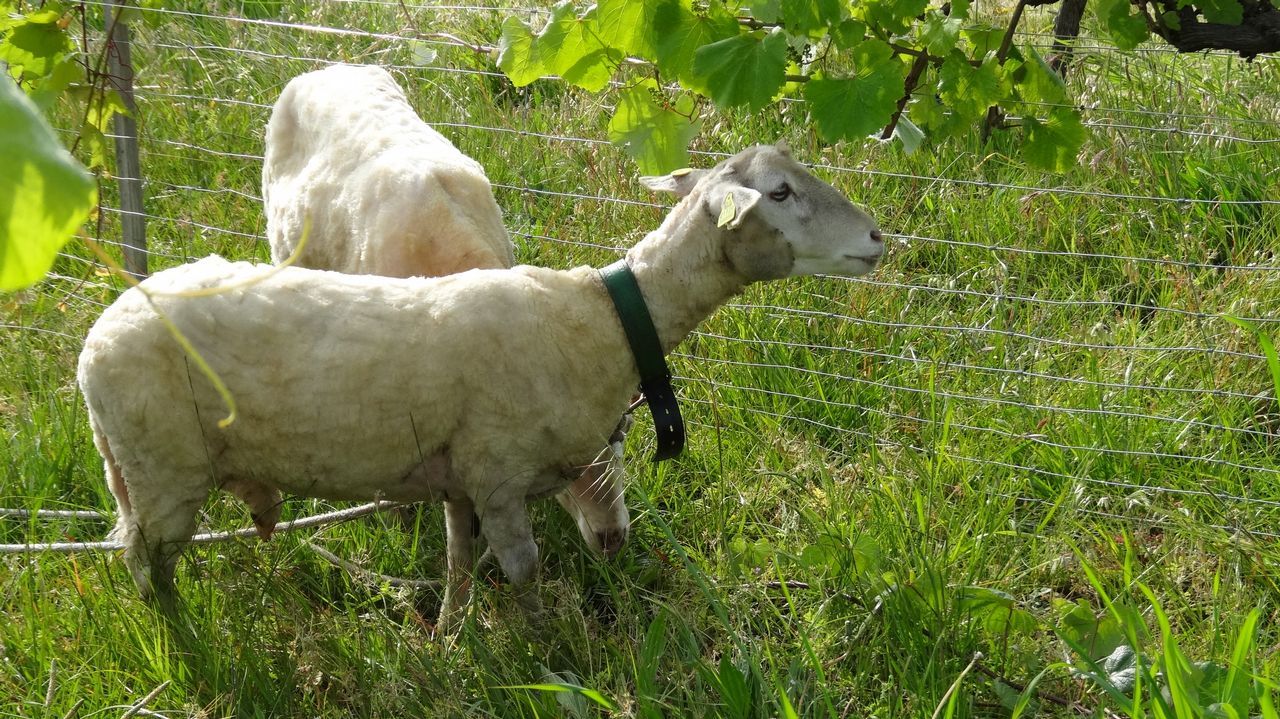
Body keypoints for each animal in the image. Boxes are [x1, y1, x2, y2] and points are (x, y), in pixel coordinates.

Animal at [78, 143, 884, 629]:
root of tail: (95, 342)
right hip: (161, 471)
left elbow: (460, 562)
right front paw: (545, 653)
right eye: (780, 192)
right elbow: (522, 571)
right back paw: (183, 640)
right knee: (146, 564)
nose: (878, 238)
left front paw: (450, 633)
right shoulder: (498, 472)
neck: (602, 319)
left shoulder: (459, 477)